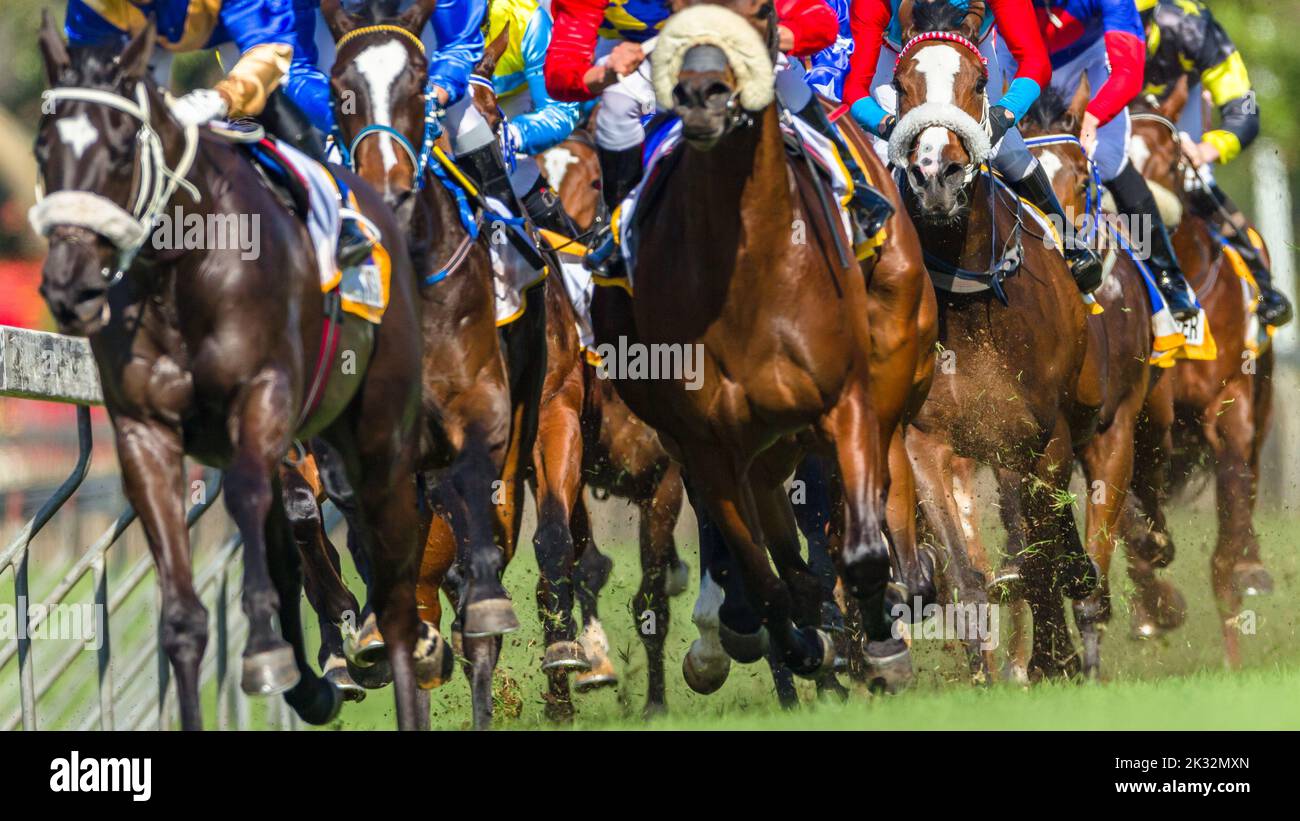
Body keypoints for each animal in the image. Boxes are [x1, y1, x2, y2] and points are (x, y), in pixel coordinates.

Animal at [32, 16, 427, 729]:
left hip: (381, 422)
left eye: (121, 147)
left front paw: (295, 648)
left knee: (381, 541)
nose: (68, 285)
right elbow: (220, 579)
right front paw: (319, 658)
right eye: (43, 147)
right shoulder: (150, 432)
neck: (176, 272)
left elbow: (272, 503)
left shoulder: (266, 395)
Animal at [591, 0, 937, 693]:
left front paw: (884, 642)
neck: (751, 272)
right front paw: (796, 637)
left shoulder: (845, 397)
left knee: (887, 473)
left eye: (757, 12)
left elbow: (862, 547)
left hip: (891, 351)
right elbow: (756, 568)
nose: (703, 95)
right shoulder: (704, 445)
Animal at [893, 0, 1100, 680]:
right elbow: (968, 574)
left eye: (979, 81)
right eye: (901, 84)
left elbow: (1037, 555)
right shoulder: (926, 443)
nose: (935, 172)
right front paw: (986, 673)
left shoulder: (1037, 436)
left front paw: (1054, 660)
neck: (972, 301)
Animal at [1124, 85, 1275, 668]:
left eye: (1170, 159)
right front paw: (1154, 606)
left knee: (1249, 479)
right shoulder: (1145, 413)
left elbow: (1227, 535)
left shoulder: (1231, 405)